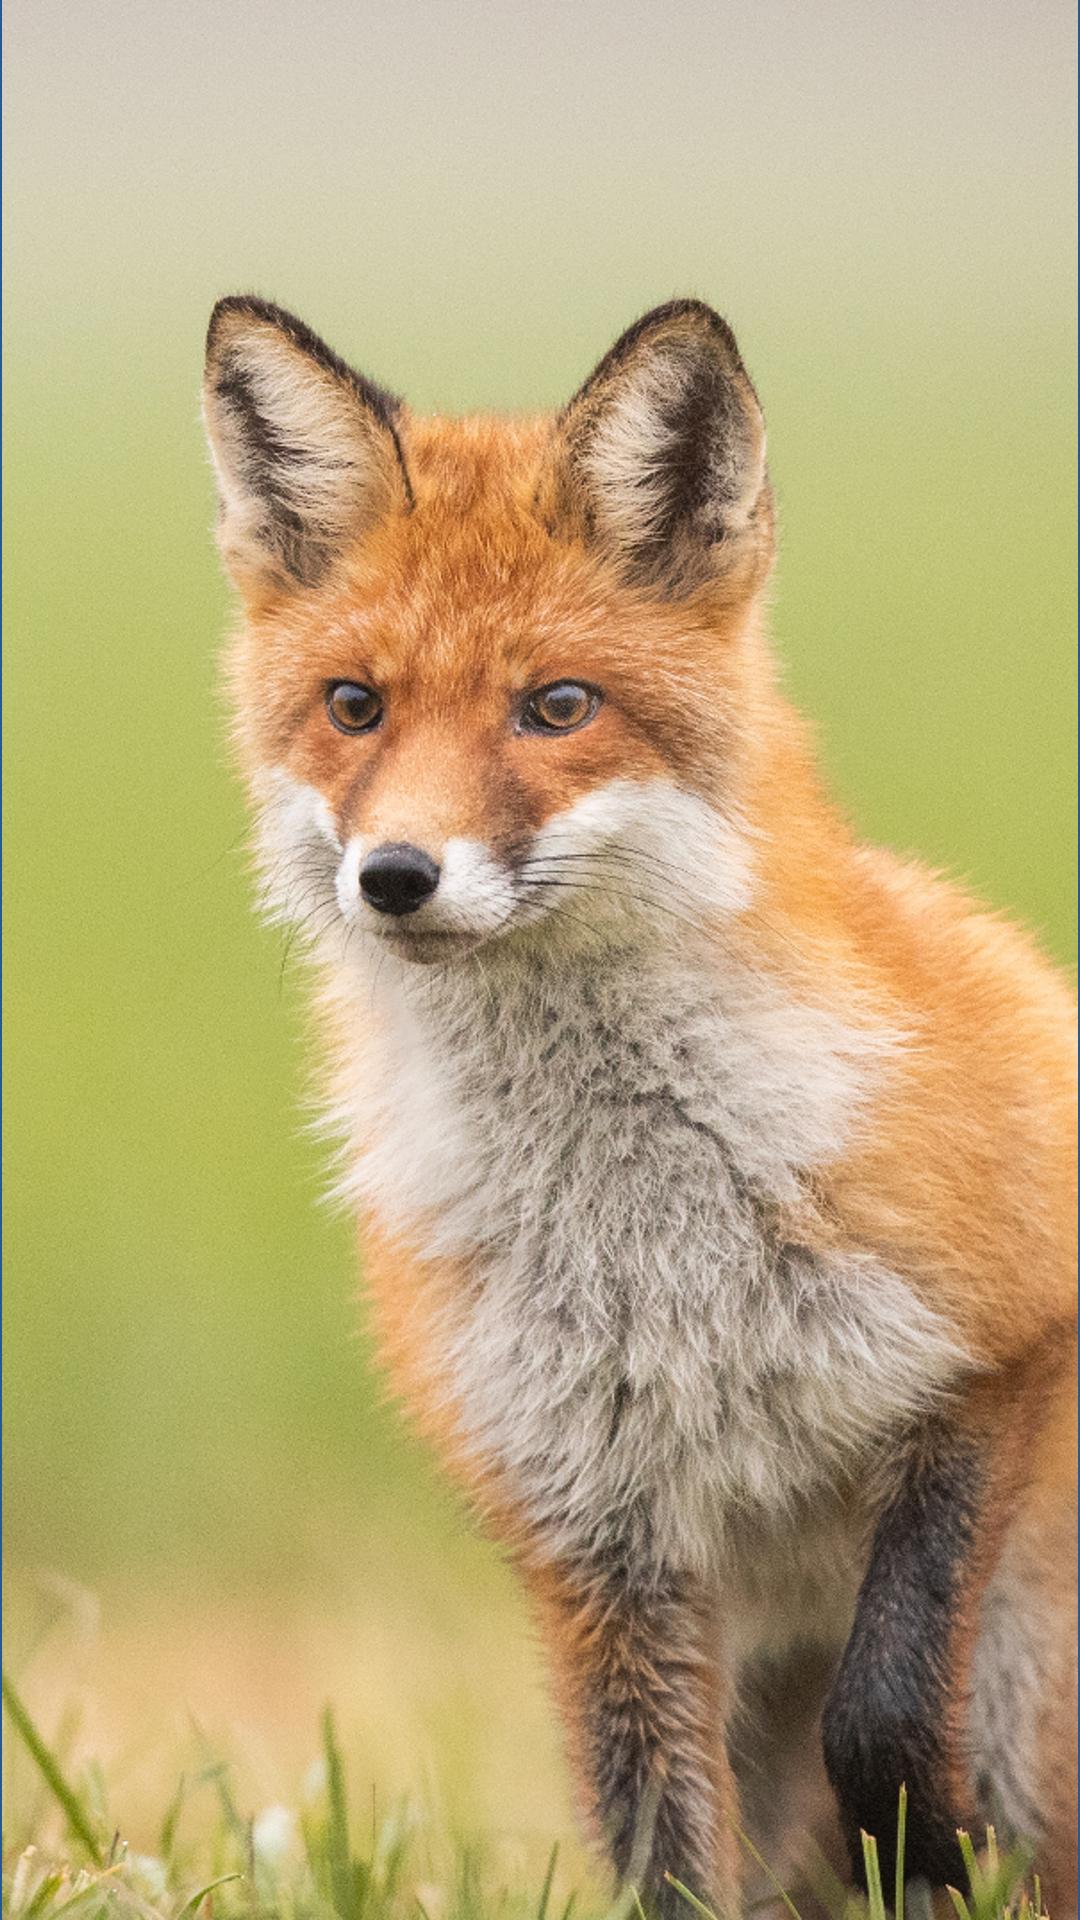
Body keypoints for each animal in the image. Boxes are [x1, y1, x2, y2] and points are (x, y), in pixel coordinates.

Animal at [202, 294, 1078, 1918]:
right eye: (355, 706)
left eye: (557, 708)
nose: (395, 876)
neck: (647, 1238)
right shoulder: (594, 1530)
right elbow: (661, 1845)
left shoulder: (998, 1348)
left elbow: (887, 1711)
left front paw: (934, 1843)